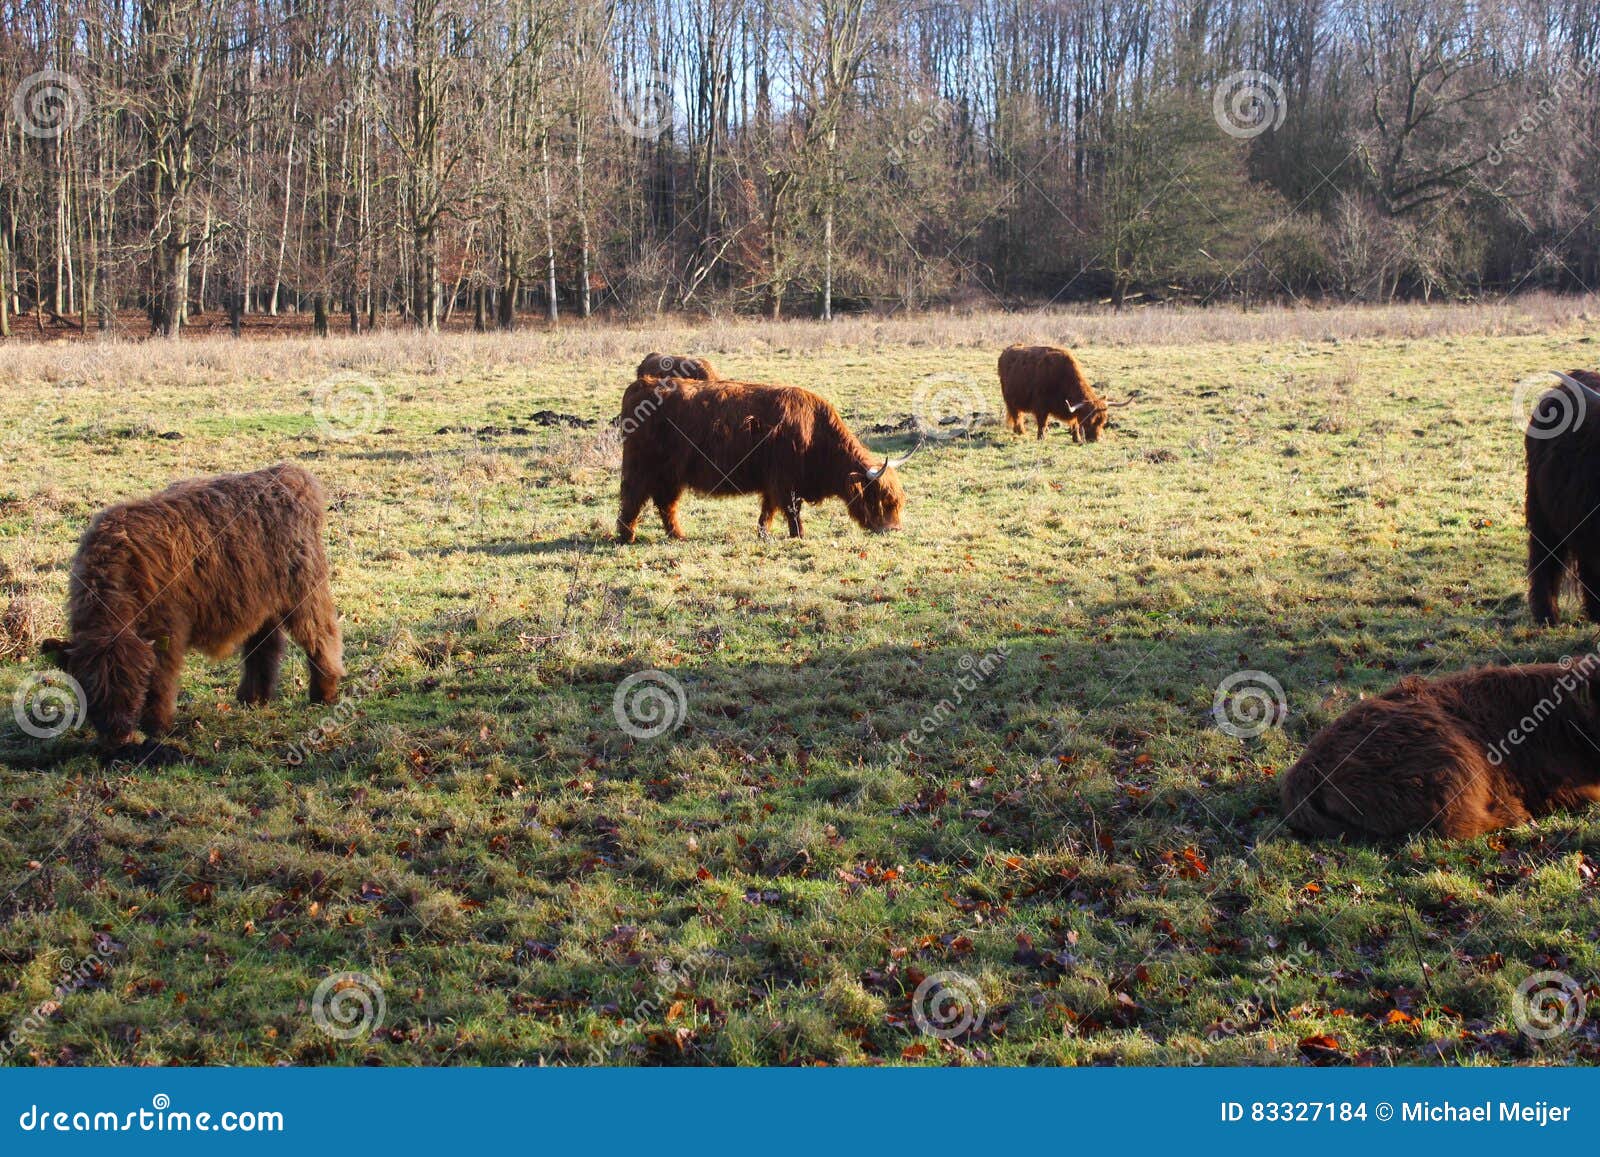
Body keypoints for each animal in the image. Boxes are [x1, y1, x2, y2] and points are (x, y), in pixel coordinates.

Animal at [37, 464, 344, 763]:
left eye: (131, 688)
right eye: (90, 692)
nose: (117, 740)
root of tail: (289, 473)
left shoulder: (168, 629)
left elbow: (161, 680)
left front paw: (157, 726)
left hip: (304, 591)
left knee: (321, 635)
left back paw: (323, 694)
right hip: (261, 603)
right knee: (264, 647)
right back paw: (253, 699)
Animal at [616, 376, 915, 542]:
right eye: (881, 498)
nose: (895, 529)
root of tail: (642, 384)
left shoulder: (773, 482)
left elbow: (768, 510)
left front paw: (763, 533)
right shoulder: (786, 481)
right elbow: (792, 510)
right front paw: (798, 535)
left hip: (670, 474)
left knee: (665, 503)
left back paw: (677, 535)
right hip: (641, 467)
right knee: (632, 499)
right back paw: (626, 536)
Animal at [997, 343, 1129, 442]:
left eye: (1103, 421)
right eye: (1088, 421)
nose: (1096, 440)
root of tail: (1008, 350)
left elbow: (1075, 423)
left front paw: (1077, 439)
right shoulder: (1041, 406)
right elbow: (1042, 423)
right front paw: (1041, 438)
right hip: (1010, 399)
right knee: (1017, 415)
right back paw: (1020, 431)